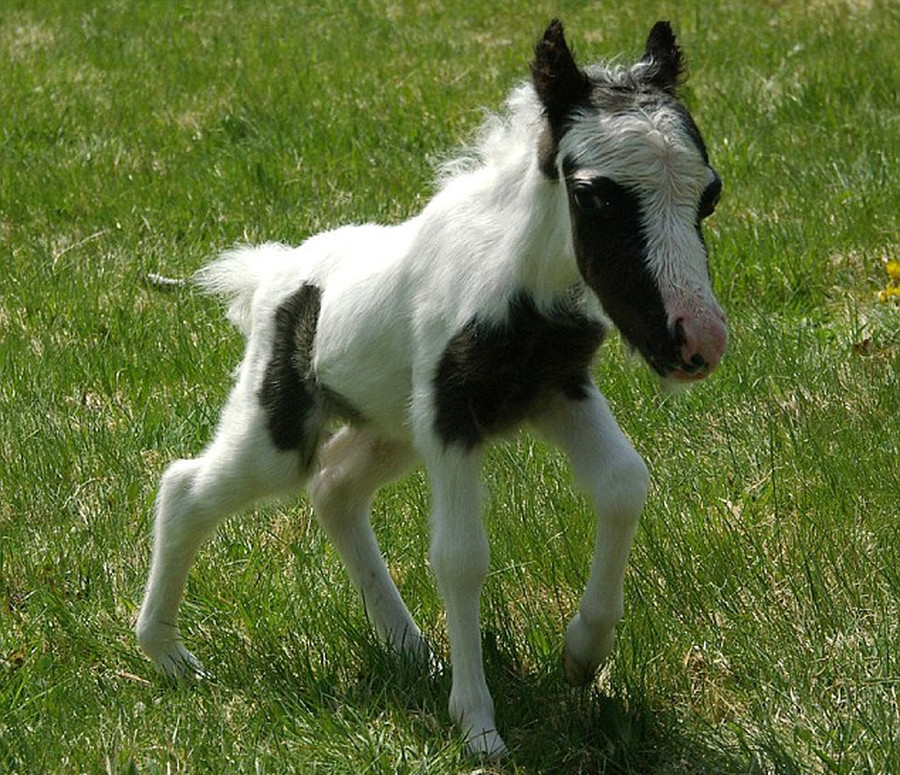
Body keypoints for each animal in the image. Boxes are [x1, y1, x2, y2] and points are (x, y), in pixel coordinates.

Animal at [136, 19, 728, 759]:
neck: (516, 280)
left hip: (392, 427)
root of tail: (272, 272)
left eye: (709, 193)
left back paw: (410, 647)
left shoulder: (556, 389)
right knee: (188, 486)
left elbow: (624, 482)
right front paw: (479, 727)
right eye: (593, 194)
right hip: (283, 426)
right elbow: (460, 556)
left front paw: (583, 653)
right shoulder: (452, 417)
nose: (698, 342)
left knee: (334, 486)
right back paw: (167, 655)